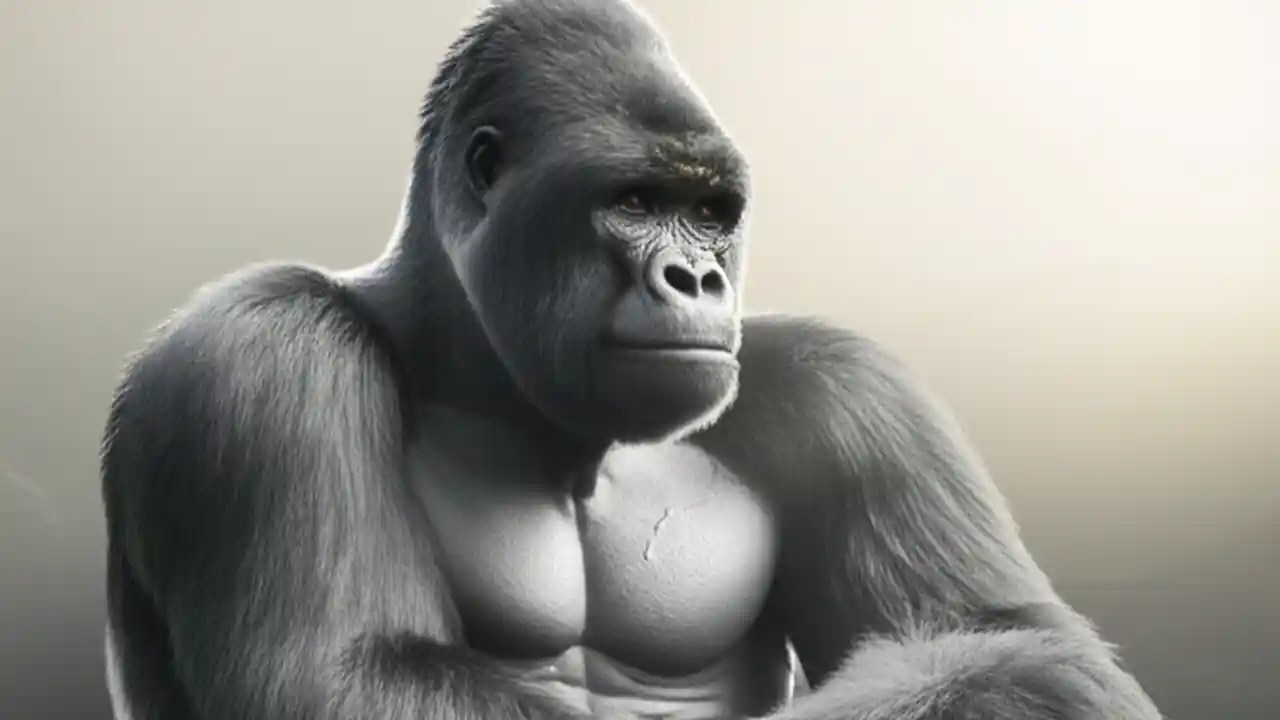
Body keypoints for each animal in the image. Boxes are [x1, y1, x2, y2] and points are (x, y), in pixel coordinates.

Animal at [100, 1, 1163, 718]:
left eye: (710, 212)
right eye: (637, 201)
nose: (698, 278)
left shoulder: (843, 385)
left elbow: (1011, 642)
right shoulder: (260, 351)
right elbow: (347, 673)